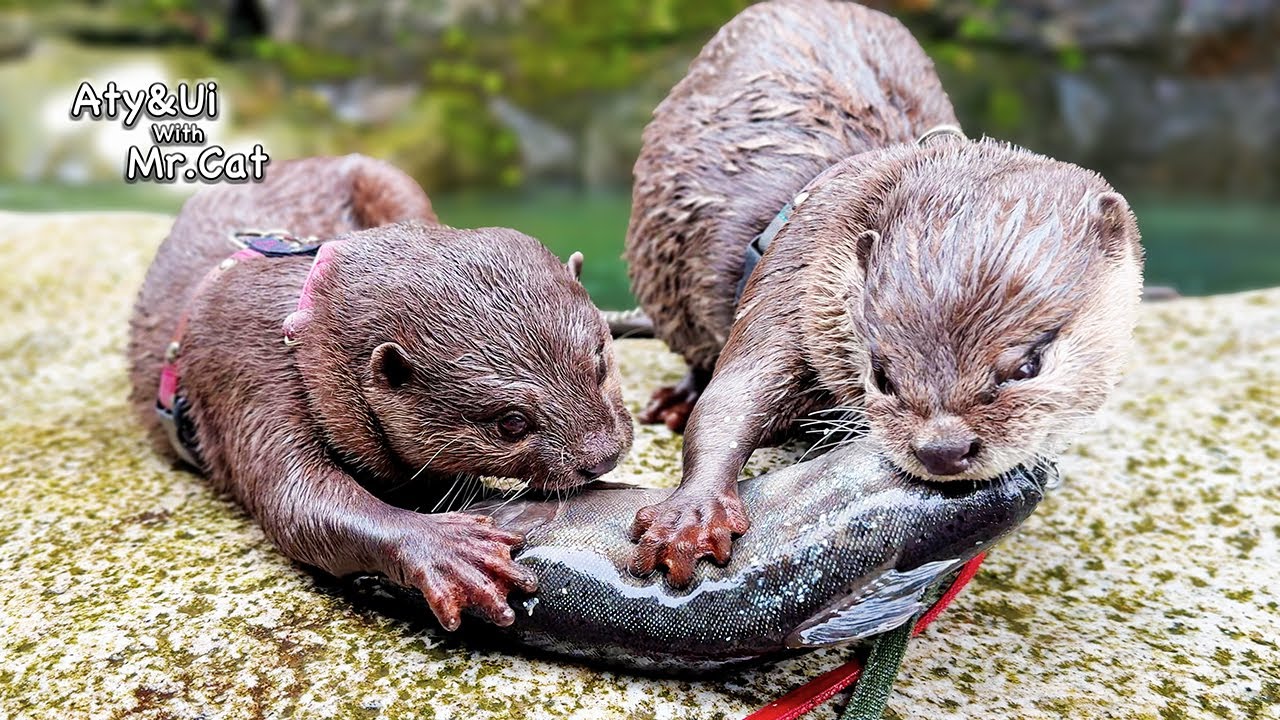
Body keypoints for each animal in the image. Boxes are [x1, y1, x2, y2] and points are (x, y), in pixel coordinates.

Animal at [128, 155, 634, 629]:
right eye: (511, 423)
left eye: (599, 365)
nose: (602, 455)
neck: (299, 327)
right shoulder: (251, 377)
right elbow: (295, 505)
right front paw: (453, 550)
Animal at [624, 0, 1143, 586]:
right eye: (881, 374)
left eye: (1028, 365)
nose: (943, 448)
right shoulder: (800, 271)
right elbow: (730, 399)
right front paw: (689, 519)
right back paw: (676, 400)